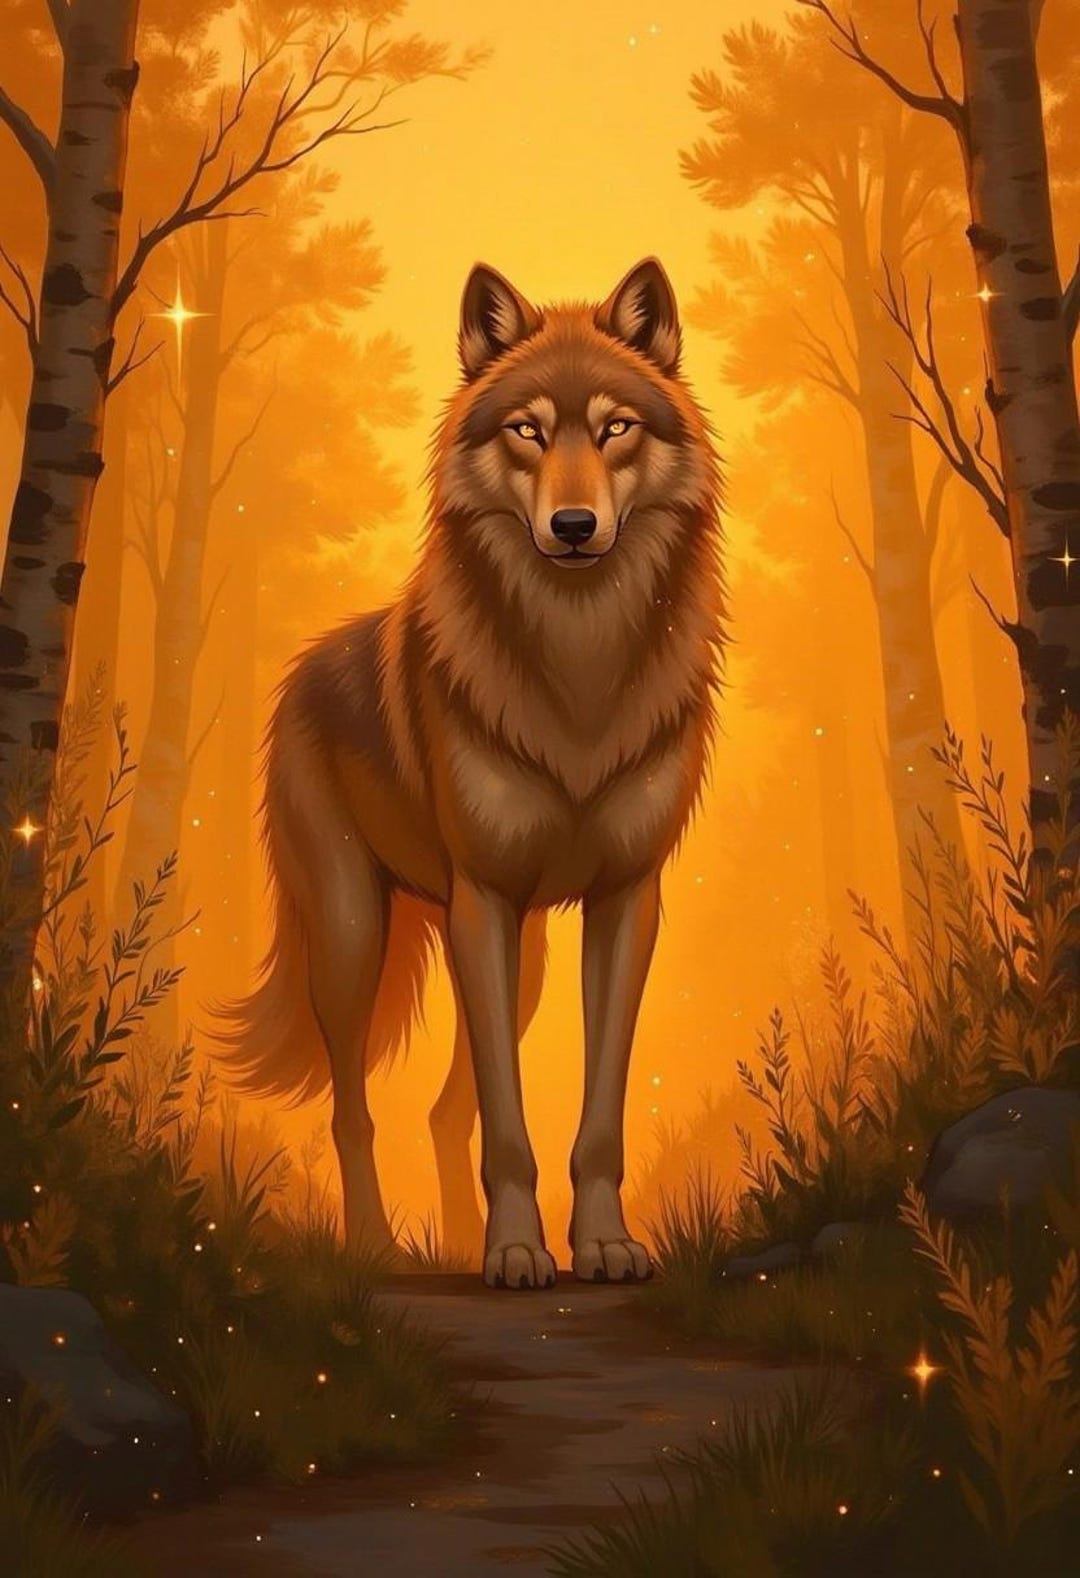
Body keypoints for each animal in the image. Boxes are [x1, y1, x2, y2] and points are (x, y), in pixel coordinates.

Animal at [217, 258, 724, 1288]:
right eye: (527, 428)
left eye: (615, 427)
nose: (573, 525)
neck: (580, 671)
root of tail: (303, 669)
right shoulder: (480, 901)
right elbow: (506, 1125)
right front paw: (518, 1252)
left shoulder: (627, 900)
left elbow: (594, 1115)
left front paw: (600, 1244)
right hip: (353, 937)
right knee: (354, 1109)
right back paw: (376, 1249)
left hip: (518, 960)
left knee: (444, 1109)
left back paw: (452, 1240)